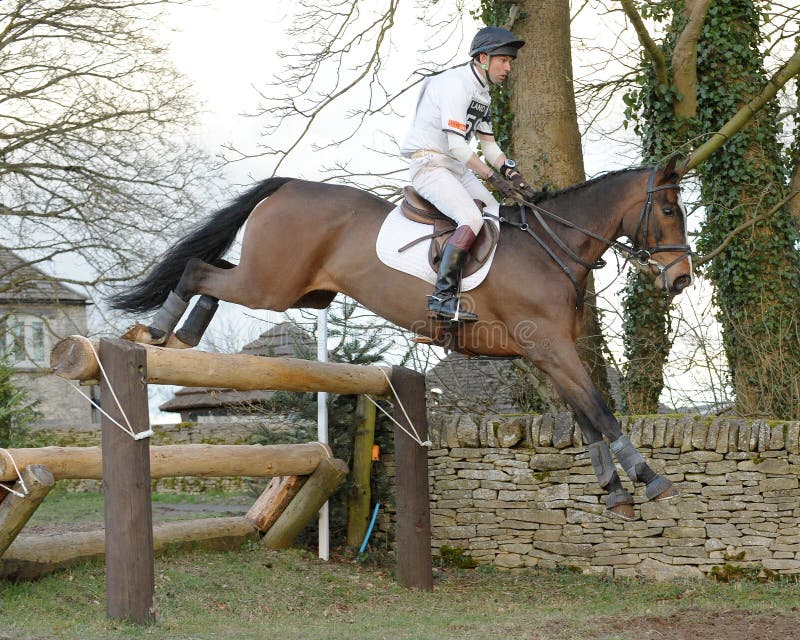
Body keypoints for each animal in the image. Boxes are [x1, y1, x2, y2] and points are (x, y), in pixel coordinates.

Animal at [109, 157, 693, 519]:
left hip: (303, 291)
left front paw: (615, 492)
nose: (682, 280)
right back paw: (159, 333)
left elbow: (586, 416)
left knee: (213, 271)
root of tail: (290, 184)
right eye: (669, 211)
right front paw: (650, 479)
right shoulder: (550, 347)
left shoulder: (548, 355)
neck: (553, 249)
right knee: (198, 269)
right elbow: (600, 410)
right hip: (271, 284)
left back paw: (179, 336)